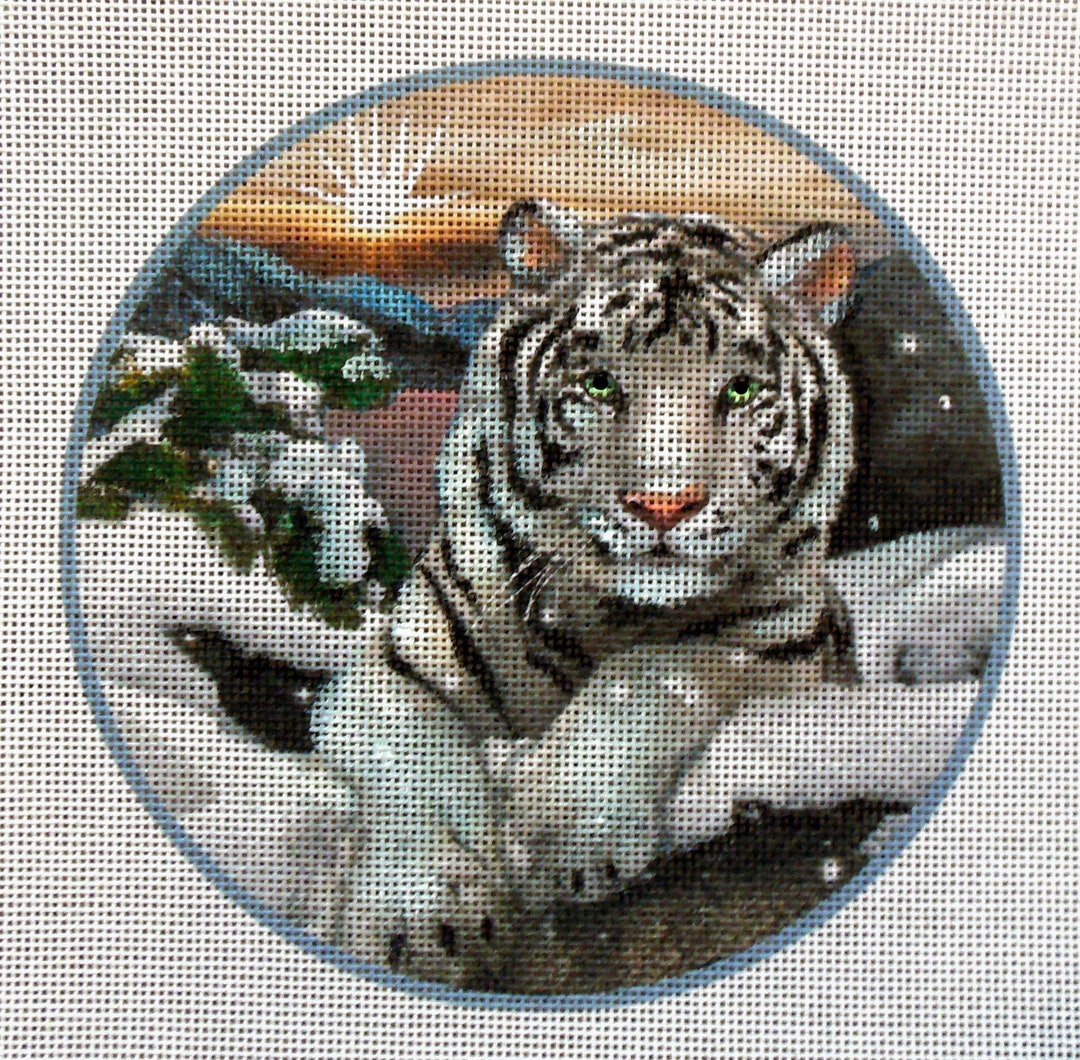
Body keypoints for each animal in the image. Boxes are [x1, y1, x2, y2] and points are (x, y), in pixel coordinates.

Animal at [311, 199, 859, 984]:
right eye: (599, 383)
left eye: (740, 389)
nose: (664, 506)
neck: (602, 614)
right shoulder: (392, 663)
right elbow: (412, 754)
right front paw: (425, 921)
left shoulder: (783, 628)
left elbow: (654, 676)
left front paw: (558, 831)